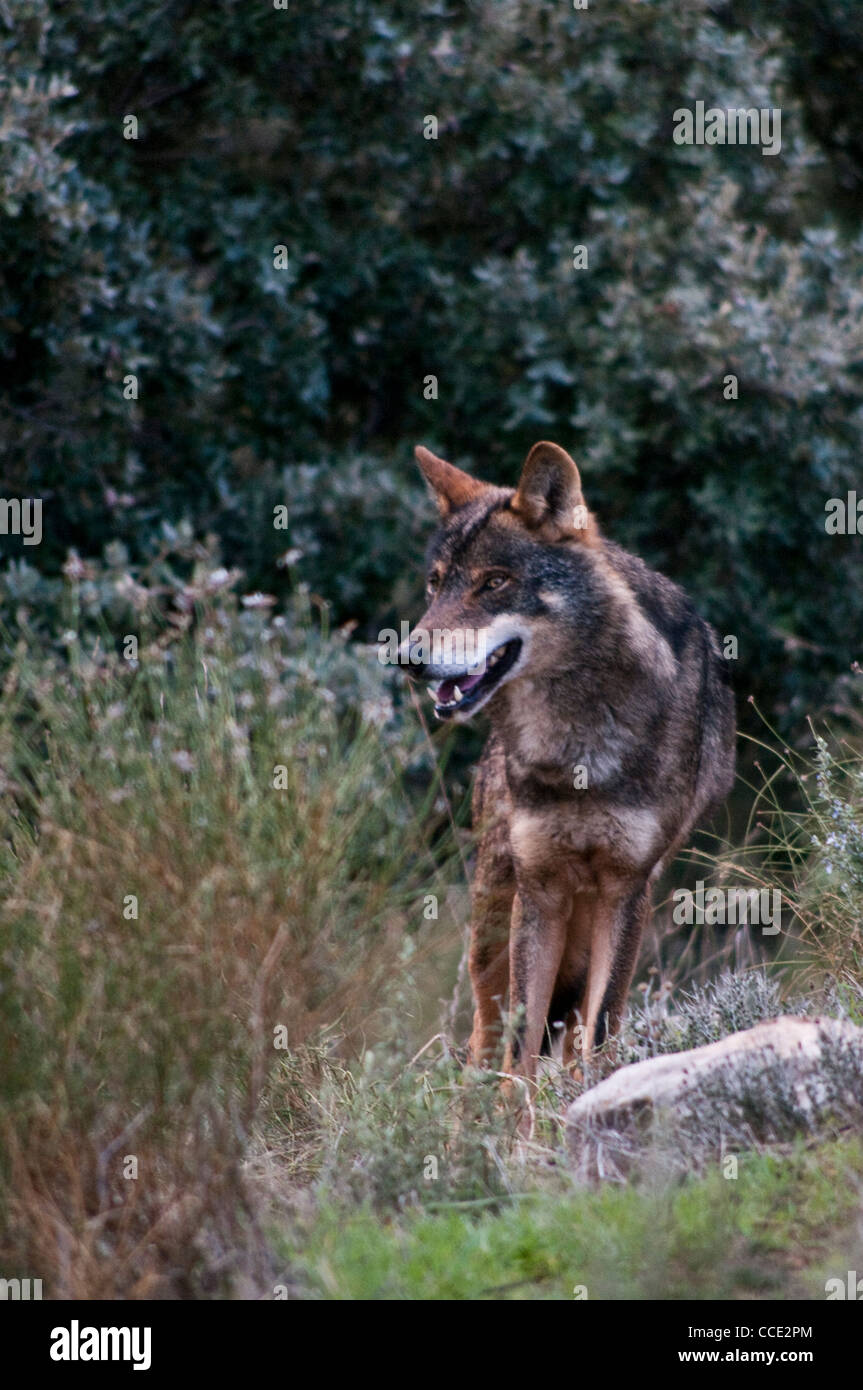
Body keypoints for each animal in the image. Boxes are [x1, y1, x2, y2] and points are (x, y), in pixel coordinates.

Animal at [401, 441, 735, 1084]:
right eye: (435, 584)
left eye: (494, 582)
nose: (407, 658)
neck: (575, 745)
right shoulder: (540, 889)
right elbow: (520, 1045)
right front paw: (518, 1116)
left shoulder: (625, 890)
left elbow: (598, 1036)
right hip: (492, 919)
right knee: (483, 1038)